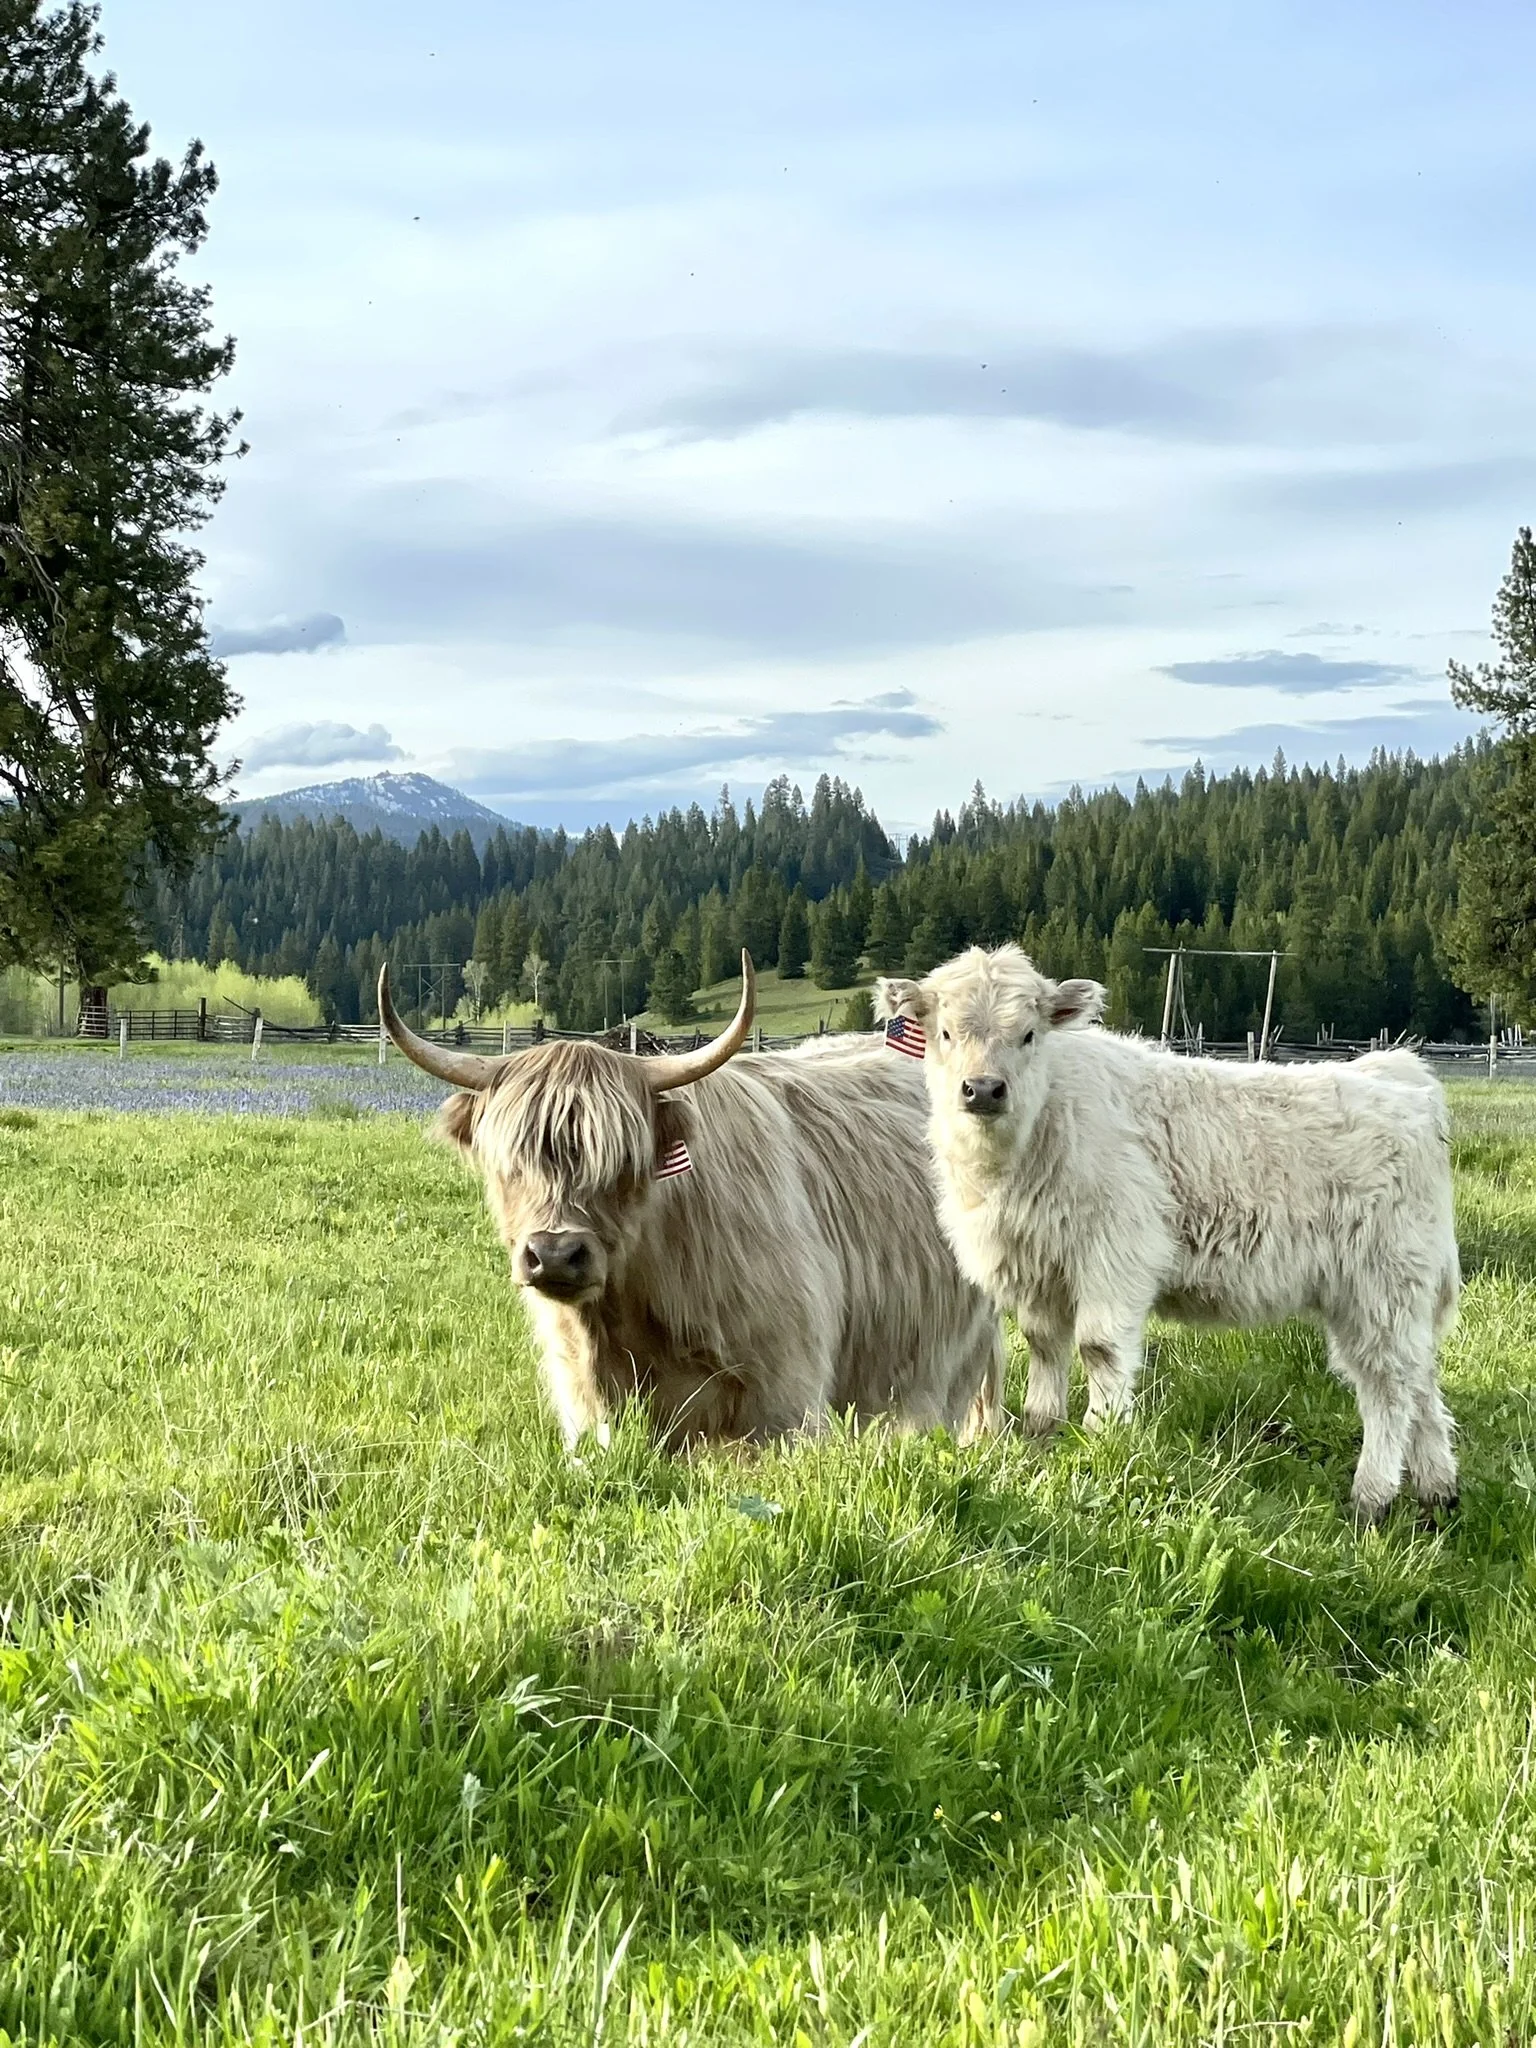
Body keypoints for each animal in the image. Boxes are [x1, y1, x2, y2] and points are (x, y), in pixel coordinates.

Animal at [876, 944, 1461, 1521]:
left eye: (1028, 1034)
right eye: (944, 1032)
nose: (984, 1090)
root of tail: (1401, 1079)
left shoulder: (1116, 1250)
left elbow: (1099, 1348)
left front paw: (1102, 1439)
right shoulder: (1037, 1268)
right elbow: (1044, 1348)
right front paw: (1041, 1437)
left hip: (1381, 1284)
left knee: (1388, 1385)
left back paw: (1373, 1495)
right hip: (1392, 1295)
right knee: (1421, 1381)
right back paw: (1437, 1489)